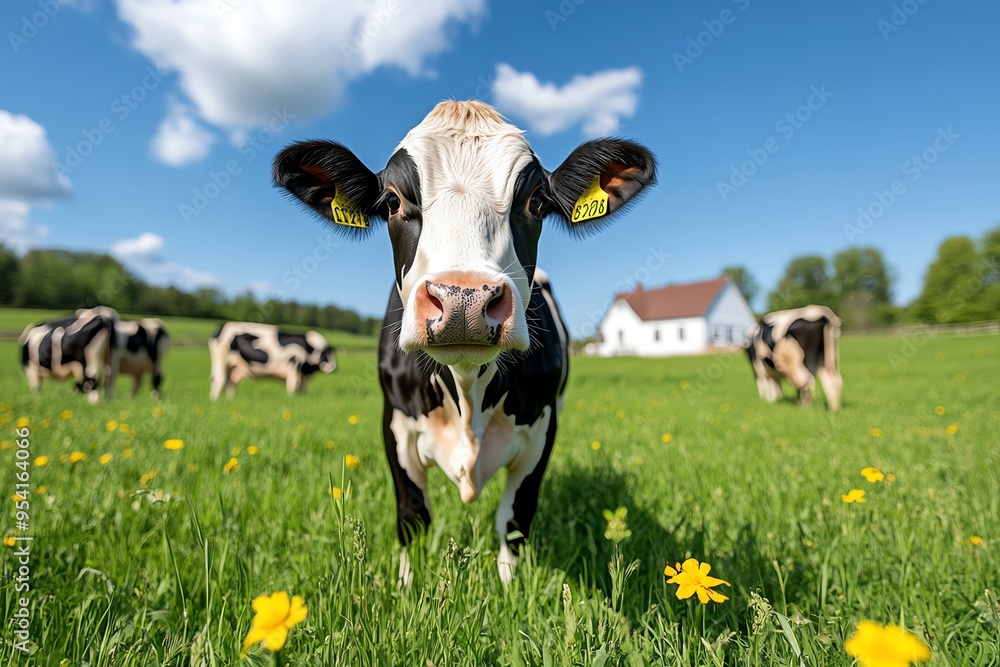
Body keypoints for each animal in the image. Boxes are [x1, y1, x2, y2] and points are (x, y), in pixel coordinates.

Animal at [209, 322, 337, 400]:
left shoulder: (305, 375)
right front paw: (291, 399)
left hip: (234, 366)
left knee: (231, 382)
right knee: (219, 380)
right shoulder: (294, 365)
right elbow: (292, 385)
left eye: (333, 354)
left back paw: (230, 400)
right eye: (324, 354)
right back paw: (214, 401)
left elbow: (302, 389)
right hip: (220, 360)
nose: (334, 368)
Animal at [272, 100, 656, 584]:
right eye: (394, 200)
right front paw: (406, 587)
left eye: (535, 201)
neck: (467, 386)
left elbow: (514, 519)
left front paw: (511, 589)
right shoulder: (395, 425)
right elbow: (412, 516)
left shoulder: (543, 429)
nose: (463, 300)